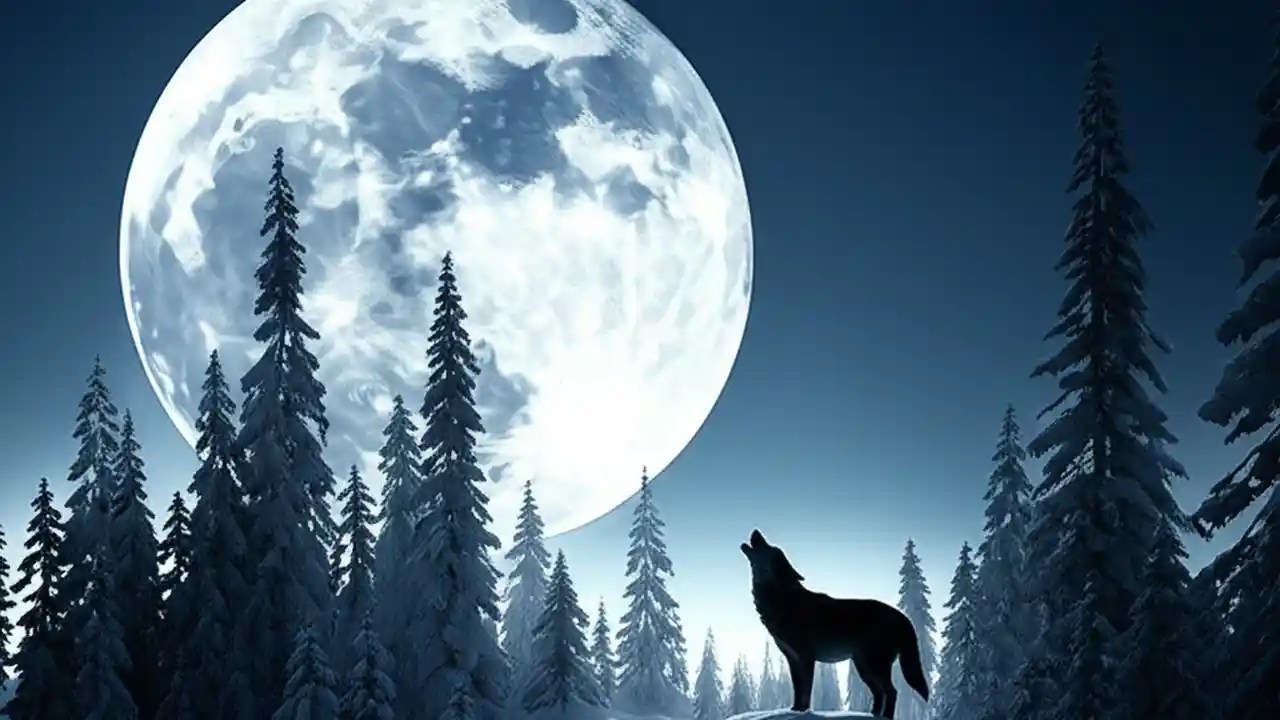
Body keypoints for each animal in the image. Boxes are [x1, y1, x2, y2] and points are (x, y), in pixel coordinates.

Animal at [740, 529, 930, 718]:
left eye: (768, 546)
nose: (756, 531)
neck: (782, 599)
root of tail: (903, 616)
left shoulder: (806, 659)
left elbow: (805, 691)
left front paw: (802, 712)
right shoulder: (792, 659)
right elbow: (797, 690)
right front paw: (794, 710)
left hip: (873, 665)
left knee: (891, 691)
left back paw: (885, 717)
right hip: (863, 666)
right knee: (879, 692)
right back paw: (872, 714)